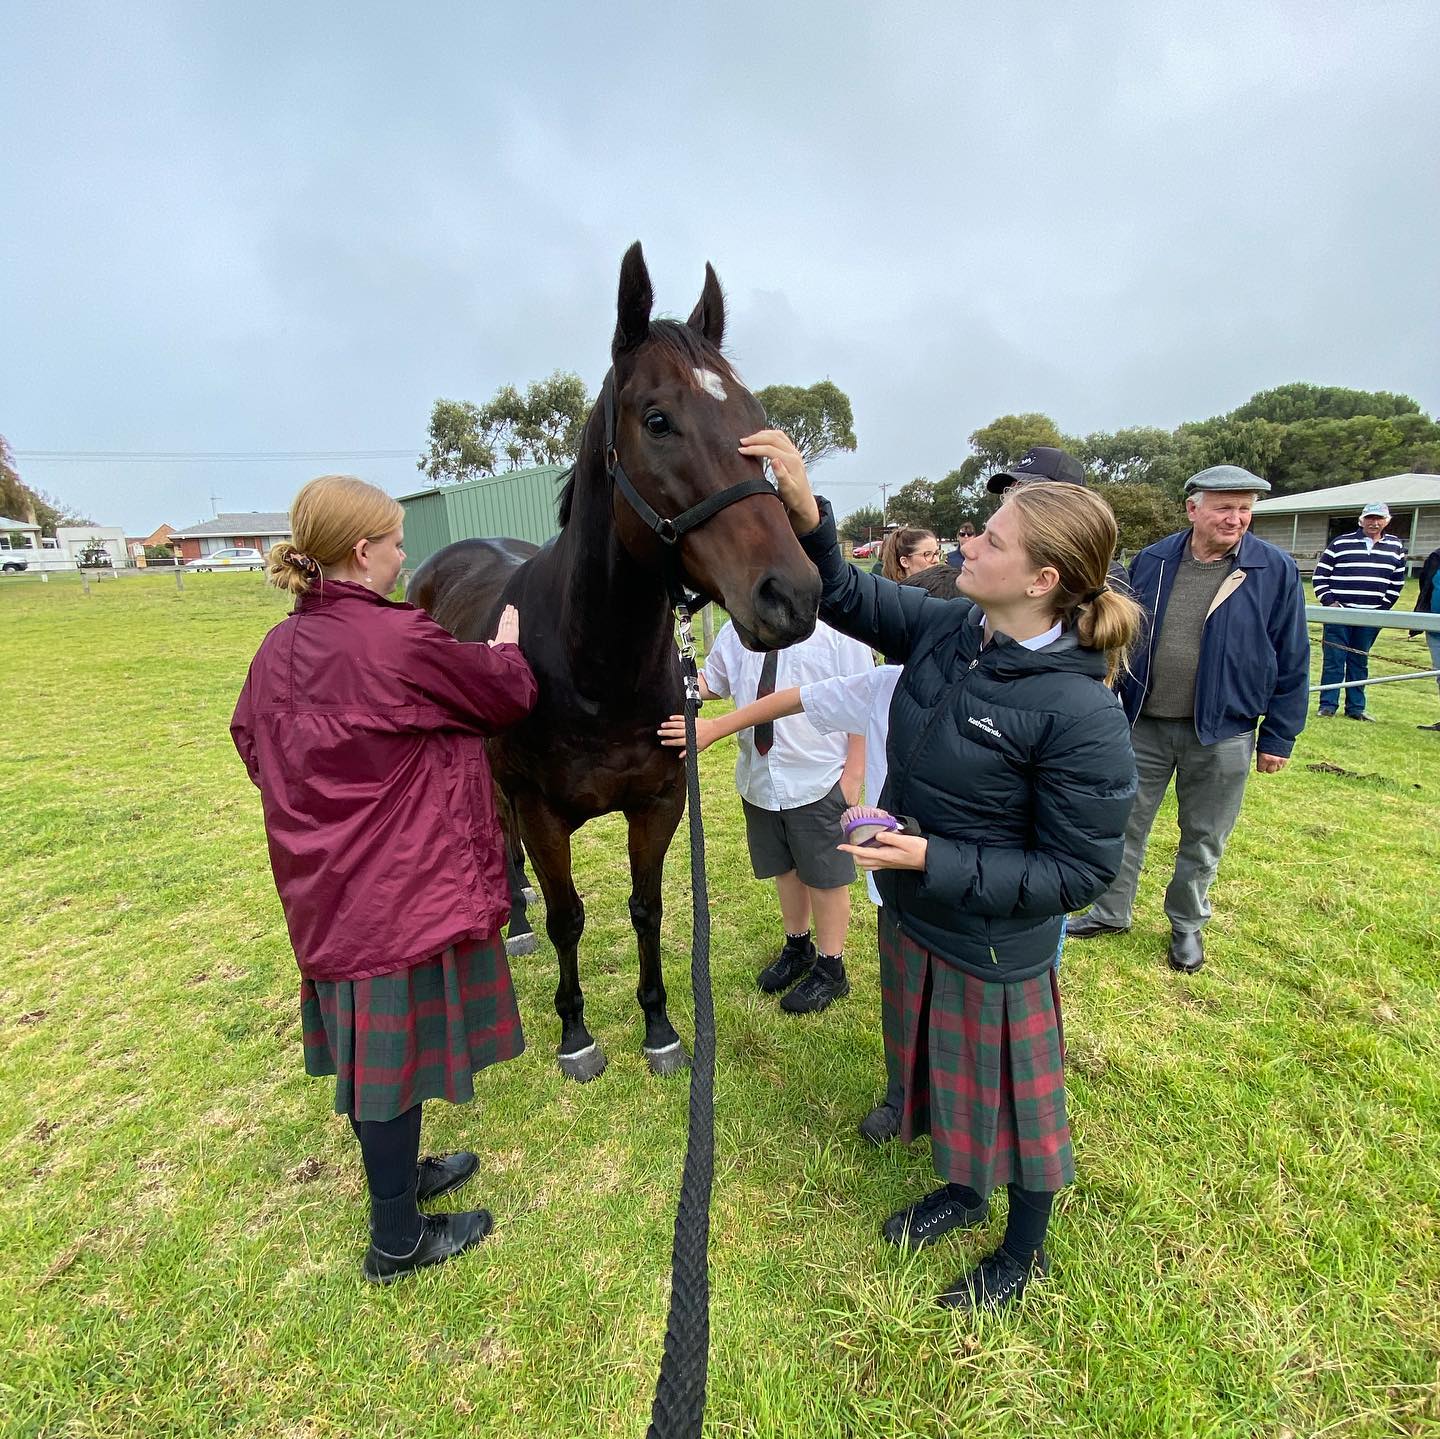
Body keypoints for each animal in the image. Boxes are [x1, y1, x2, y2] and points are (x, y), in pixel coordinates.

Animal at [408, 243, 821, 1081]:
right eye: (657, 420)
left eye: (756, 420)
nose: (792, 595)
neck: (594, 668)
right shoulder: (543, 810)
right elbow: (570, 916)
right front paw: (576, 1031)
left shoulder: (659, 802)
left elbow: (648, 908)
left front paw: (660, 1024)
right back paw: (512, 918)